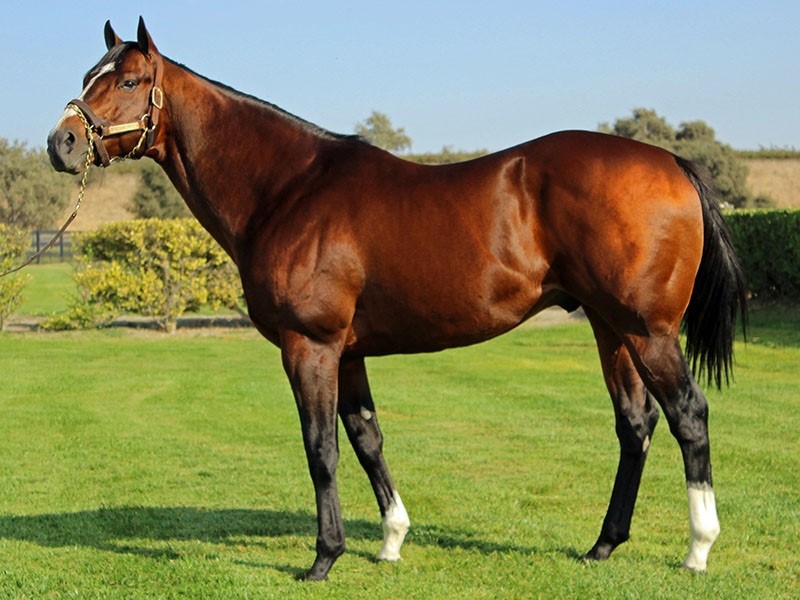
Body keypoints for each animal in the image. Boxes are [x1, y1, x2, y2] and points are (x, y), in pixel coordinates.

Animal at [47, 18, 747, 581]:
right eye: (88, 76)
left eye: (129, 81)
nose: (62, 143)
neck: (289, 189)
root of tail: (671, 163)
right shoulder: (349, 352)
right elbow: (366, 439)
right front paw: (390, 541)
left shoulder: (310, 346)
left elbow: (321, 448)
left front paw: (324, 558)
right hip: (610, 328)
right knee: (635, 425)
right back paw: (603, 545)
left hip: (648, 331)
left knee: (688, 416)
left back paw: (698, 549)